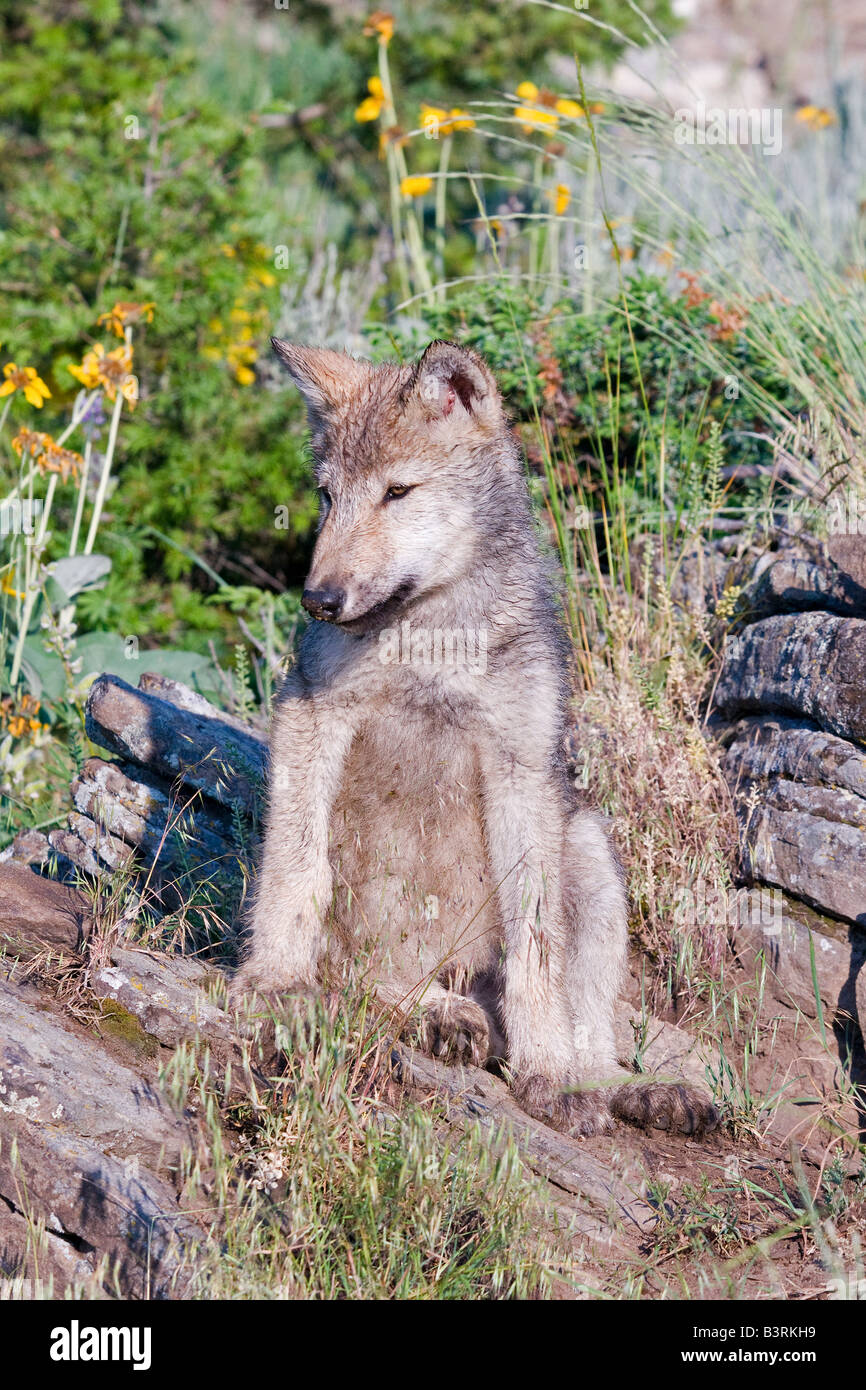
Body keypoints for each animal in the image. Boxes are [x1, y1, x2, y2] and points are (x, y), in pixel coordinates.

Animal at [234, 337, 718, 1138]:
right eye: (329, 498)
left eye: (398, 492)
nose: (318, 600)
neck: (433, 635)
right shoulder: (311, 714)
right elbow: (295, 873)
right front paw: (271, 980)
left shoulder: (519, 766)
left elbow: (536, 957)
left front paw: (551, 1076)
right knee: (372, 979)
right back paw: (441, 1016)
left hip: (586, 847)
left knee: (583, 1018)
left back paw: (619, 1086)